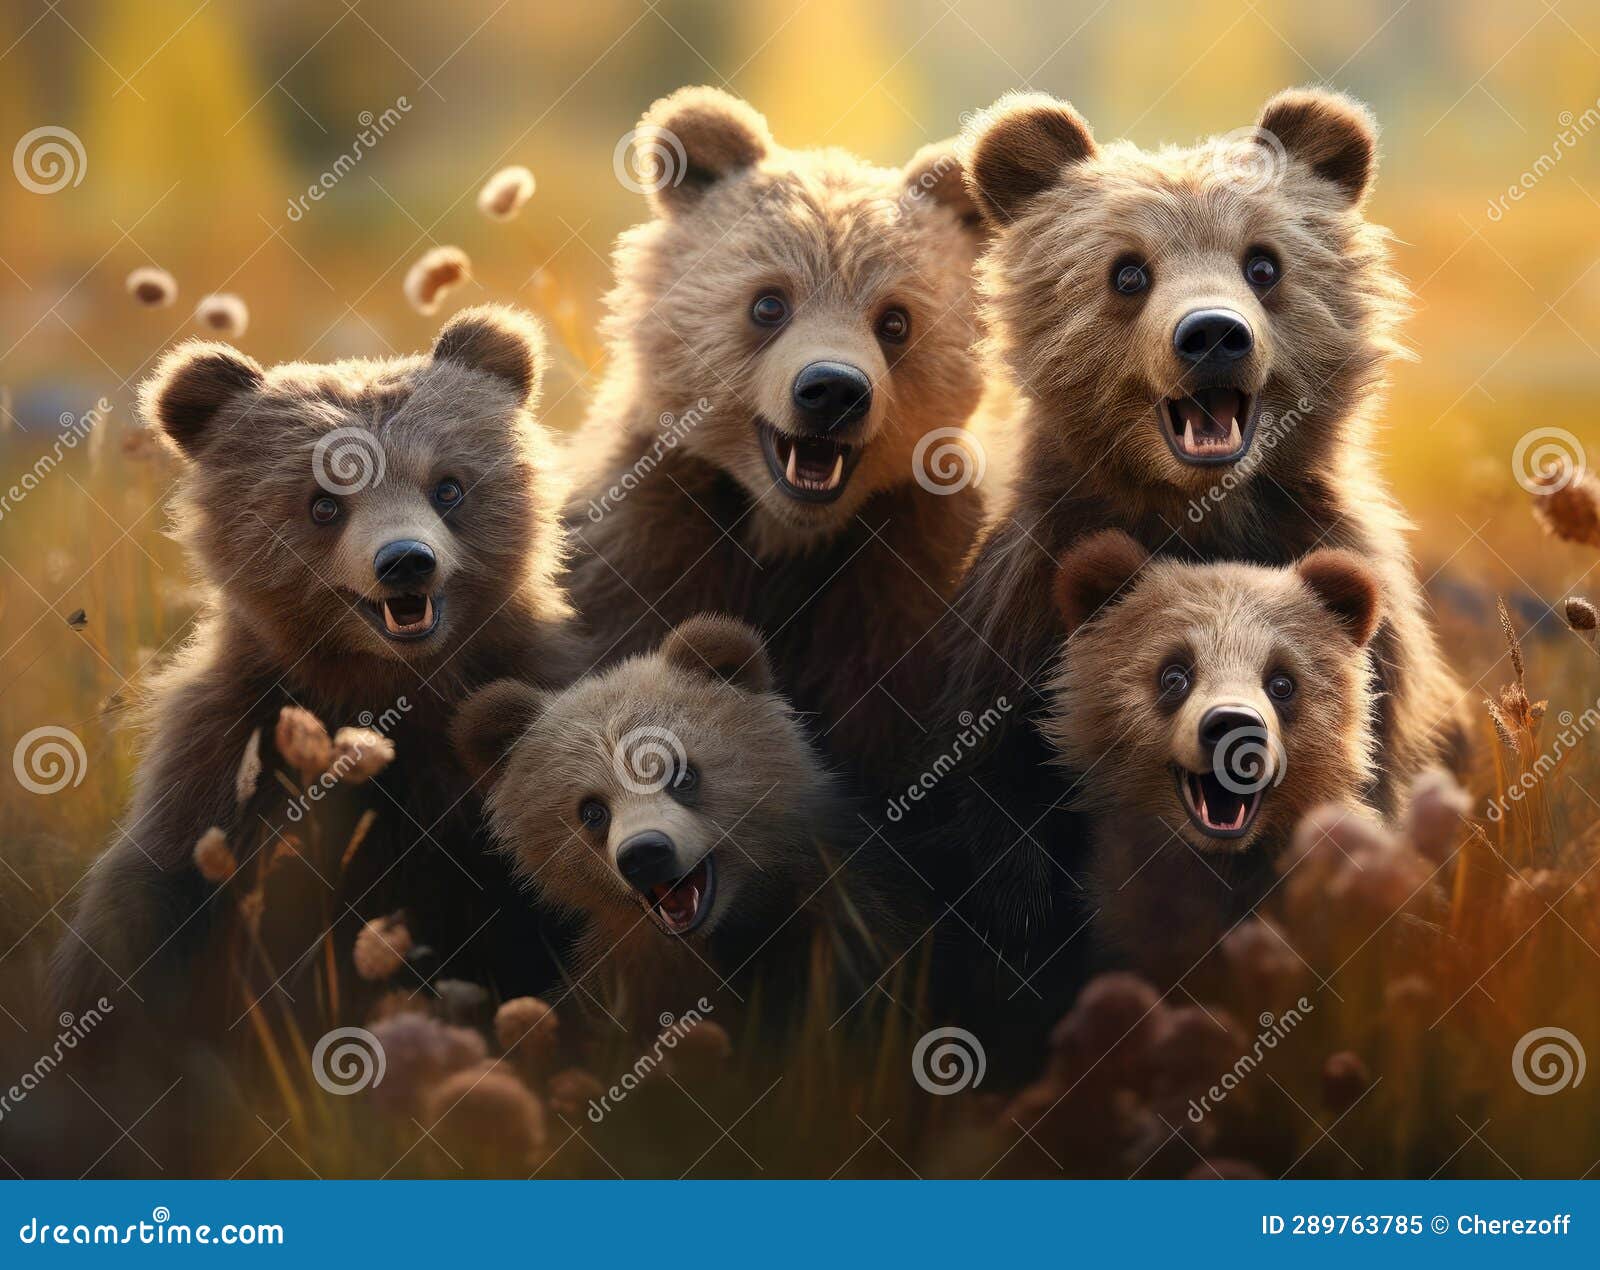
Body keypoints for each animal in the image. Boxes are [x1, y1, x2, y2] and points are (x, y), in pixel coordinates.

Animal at [52, 305, 584, 1031]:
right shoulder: (233, 748)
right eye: (324, 502)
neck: (386, 684)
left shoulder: (517, 716)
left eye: (448, 487)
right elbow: (150, 904)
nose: (406, 561)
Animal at [563, 86, 990, 790]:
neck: (783, 534)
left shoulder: (902, 577)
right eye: (769, 303)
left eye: (895, 320)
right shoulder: (647, 541)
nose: (833, 391)